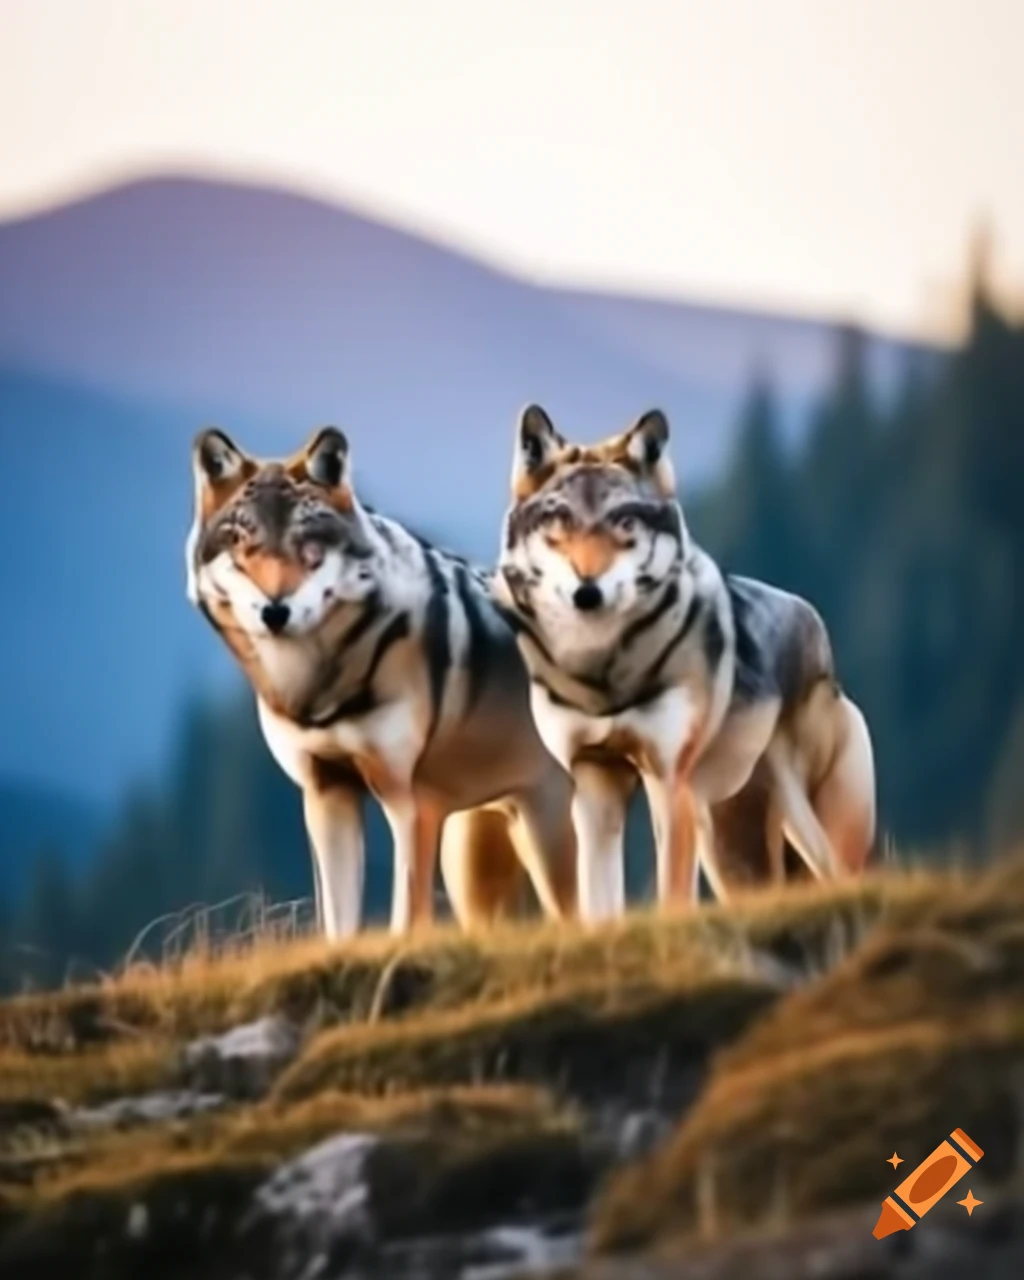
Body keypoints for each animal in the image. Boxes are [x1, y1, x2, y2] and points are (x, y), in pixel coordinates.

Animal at [185, 424, 577, 938]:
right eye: (242, 548)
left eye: (310, 550)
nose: (275, 611)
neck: (318, 686)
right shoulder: (326, 790)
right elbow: (338, 923)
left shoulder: (410, 800)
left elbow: (406, 917)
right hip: (476, 872)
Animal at [492, 404, 875, 919]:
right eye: (560, 523)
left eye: (624, 522)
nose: (587, 592)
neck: (603, 675)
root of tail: (816, 627)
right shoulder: (594, 783)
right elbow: (599, 907)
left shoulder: (669, 784)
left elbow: (672, 895)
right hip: (734, 856)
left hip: (801, 822)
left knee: (847, 876)